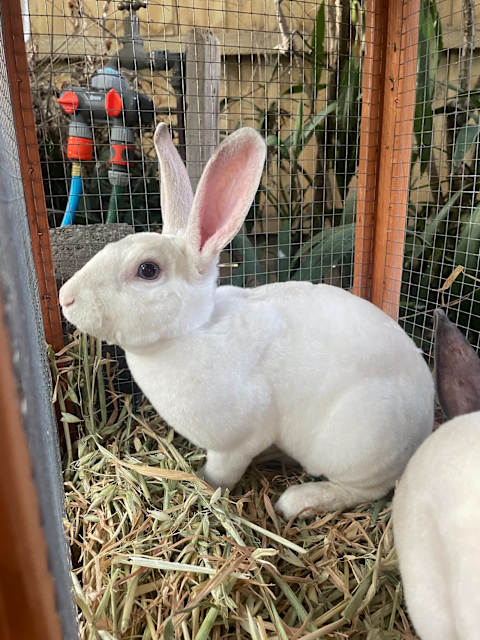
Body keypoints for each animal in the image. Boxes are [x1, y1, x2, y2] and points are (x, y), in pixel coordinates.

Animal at [59, 122, 434, 519]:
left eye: (148, 270)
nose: (66, 297)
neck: (191, 332)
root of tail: (424, 422)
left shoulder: (235, 442)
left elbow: (222, 471)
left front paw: (204, 484)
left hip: (355, 443)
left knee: (365, 490)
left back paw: (298, 501)